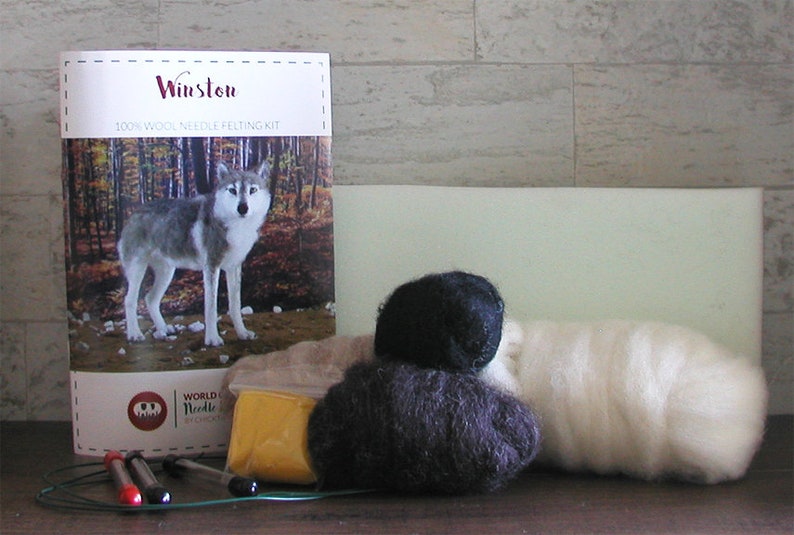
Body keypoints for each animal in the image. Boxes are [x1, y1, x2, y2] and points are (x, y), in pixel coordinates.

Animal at [119, 161, 271, 346]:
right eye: (233, 190)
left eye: (252, 190)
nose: (243, 208)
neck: (235, 227)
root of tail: (133, 215)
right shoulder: (211, 267)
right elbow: (211, 308)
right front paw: (212, 339)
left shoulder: (234, 267)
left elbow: (235, 306)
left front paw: (242, 333)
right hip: (138, 271)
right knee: (129, 301)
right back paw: (135, 334)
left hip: (167, 273)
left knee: (150, 299)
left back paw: (164, 329)